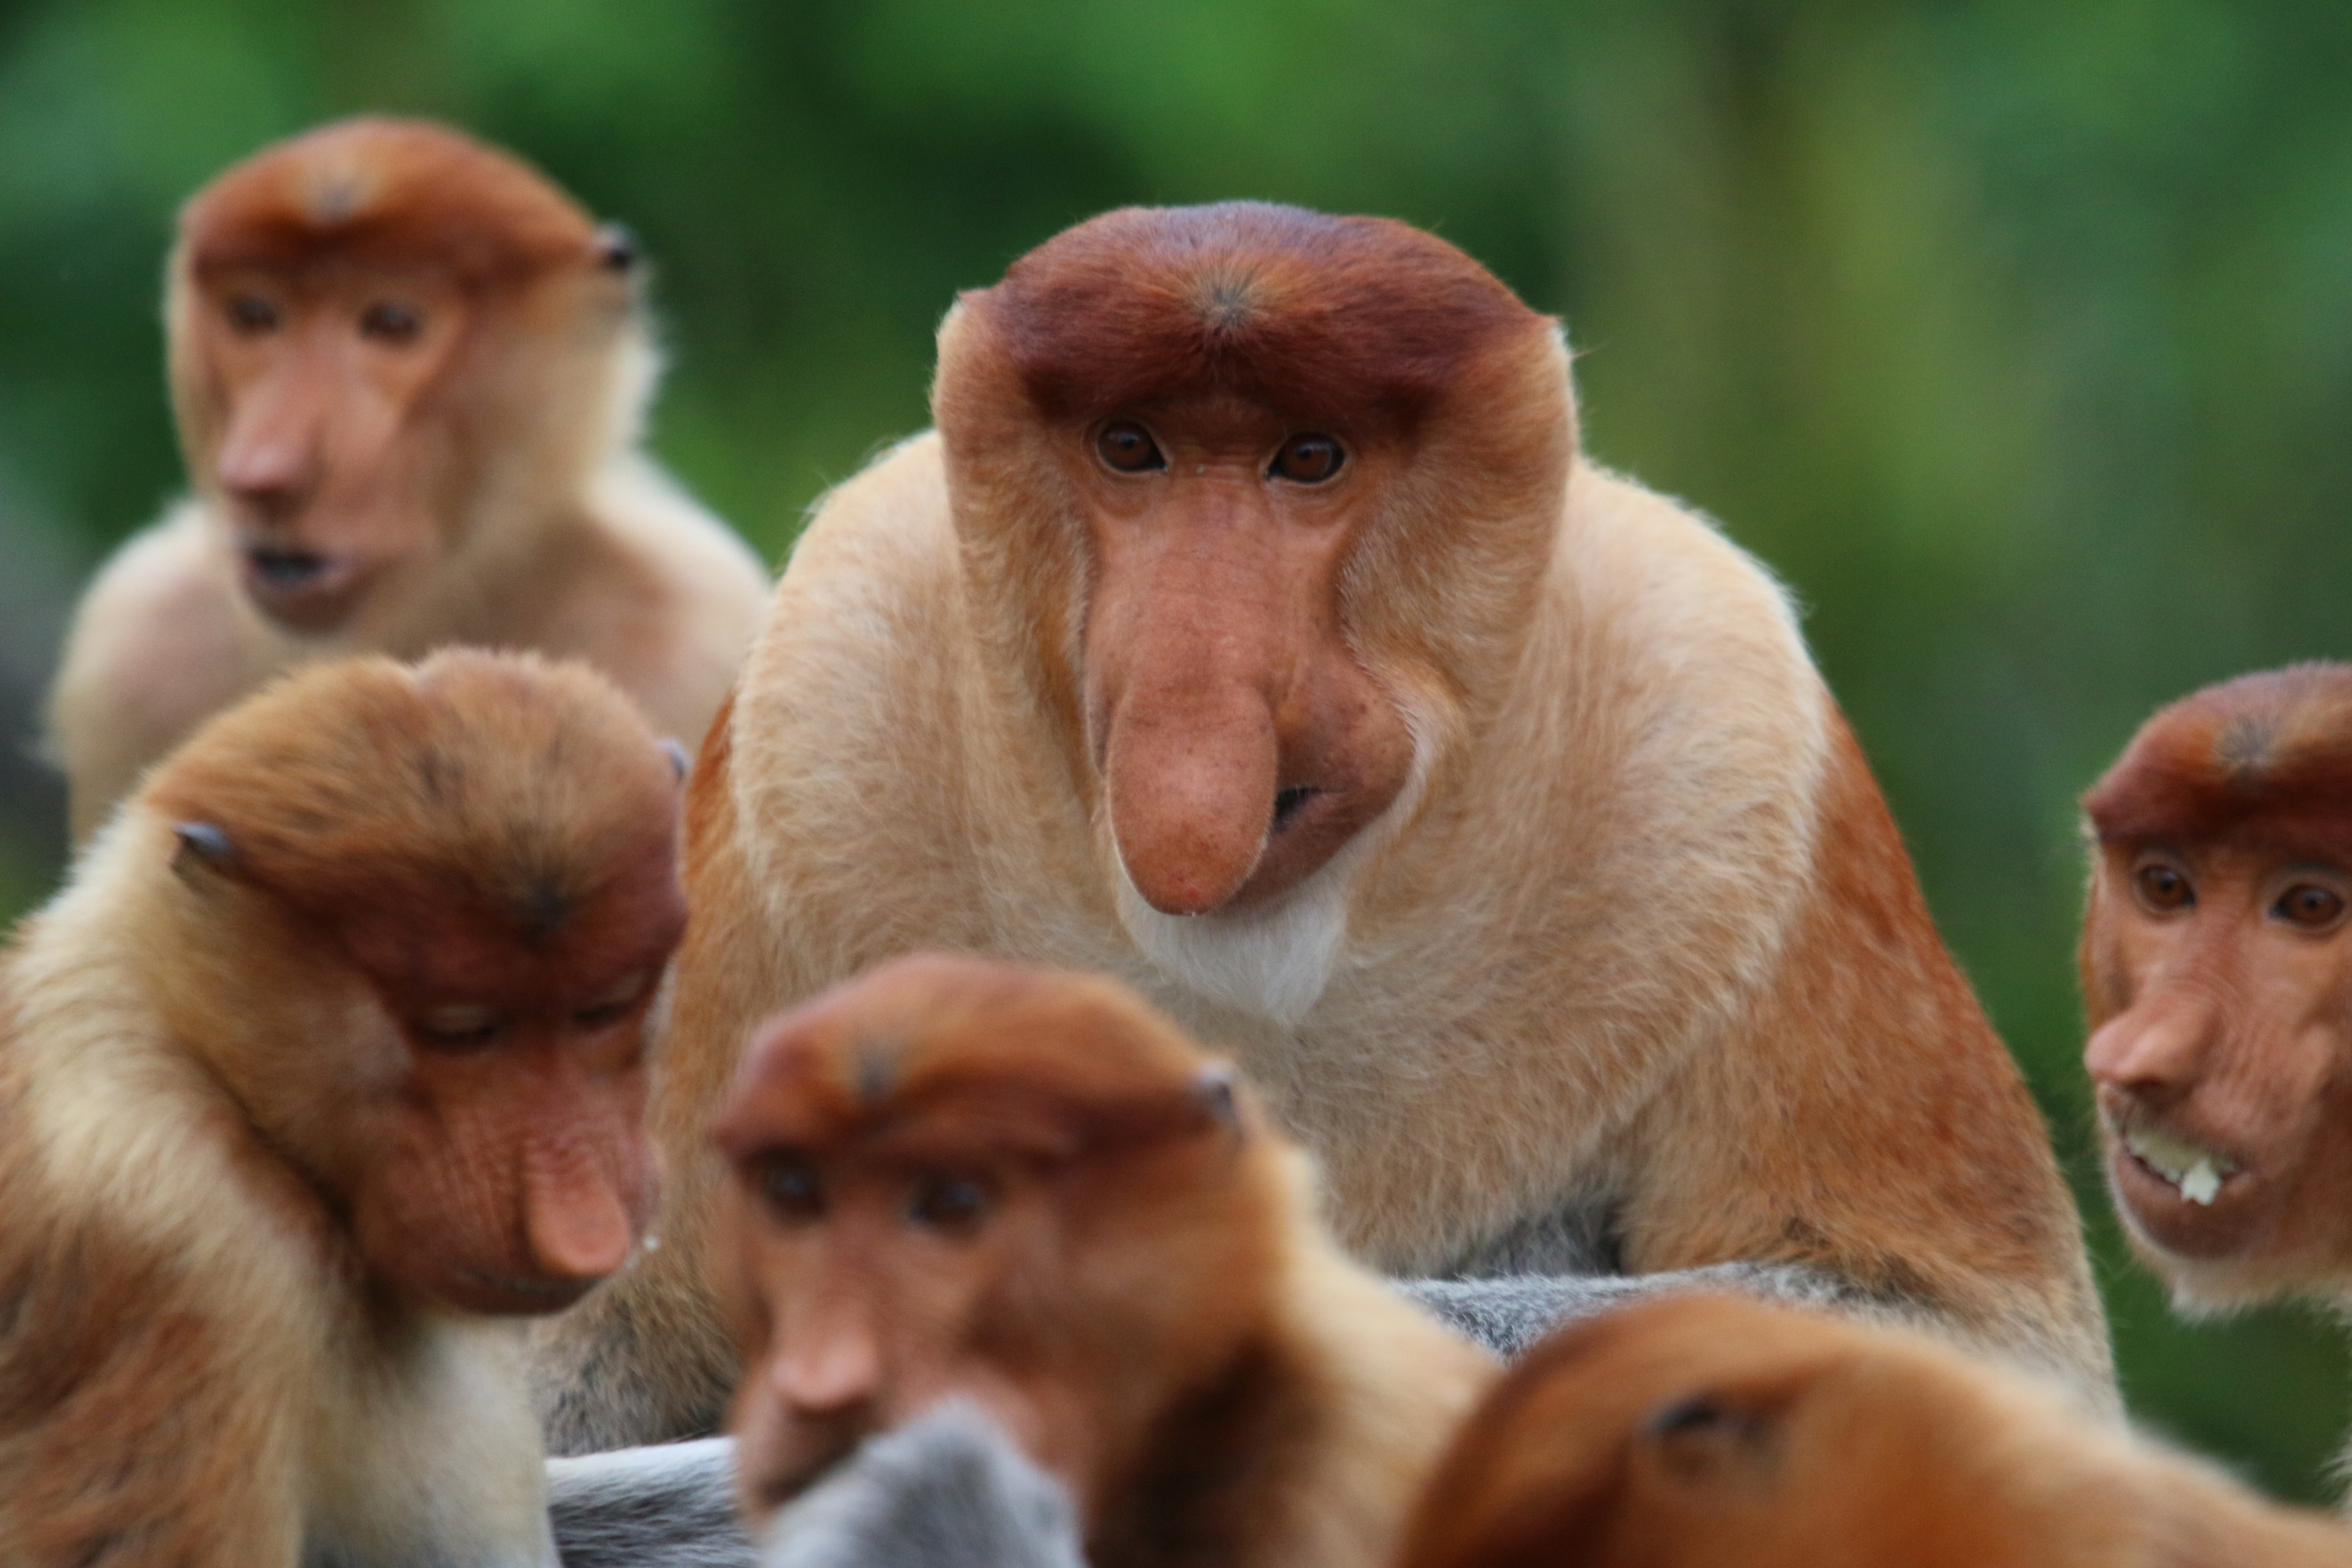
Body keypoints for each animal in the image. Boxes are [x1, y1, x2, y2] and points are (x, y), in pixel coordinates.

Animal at [531, 199, 2110, 1453]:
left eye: (1310, 458)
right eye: (1133, 449)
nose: (1196, 693)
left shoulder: (1734, 735)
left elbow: (1969, 1340)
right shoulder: (817, 706)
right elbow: (582, 1370)